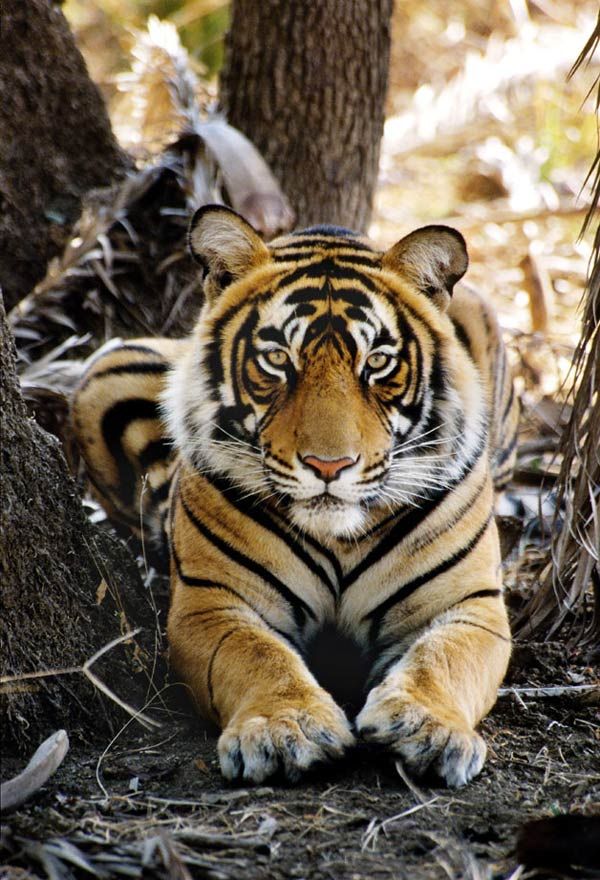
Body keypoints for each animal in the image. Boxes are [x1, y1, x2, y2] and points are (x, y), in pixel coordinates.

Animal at [71, 204, 519, 787]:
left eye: (377, 362)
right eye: (278, 359)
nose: (329, 466)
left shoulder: (468, 605)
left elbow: (441, 659)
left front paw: (427, 727)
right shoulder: (212, 603)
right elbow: (256, 656)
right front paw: (285, 729)